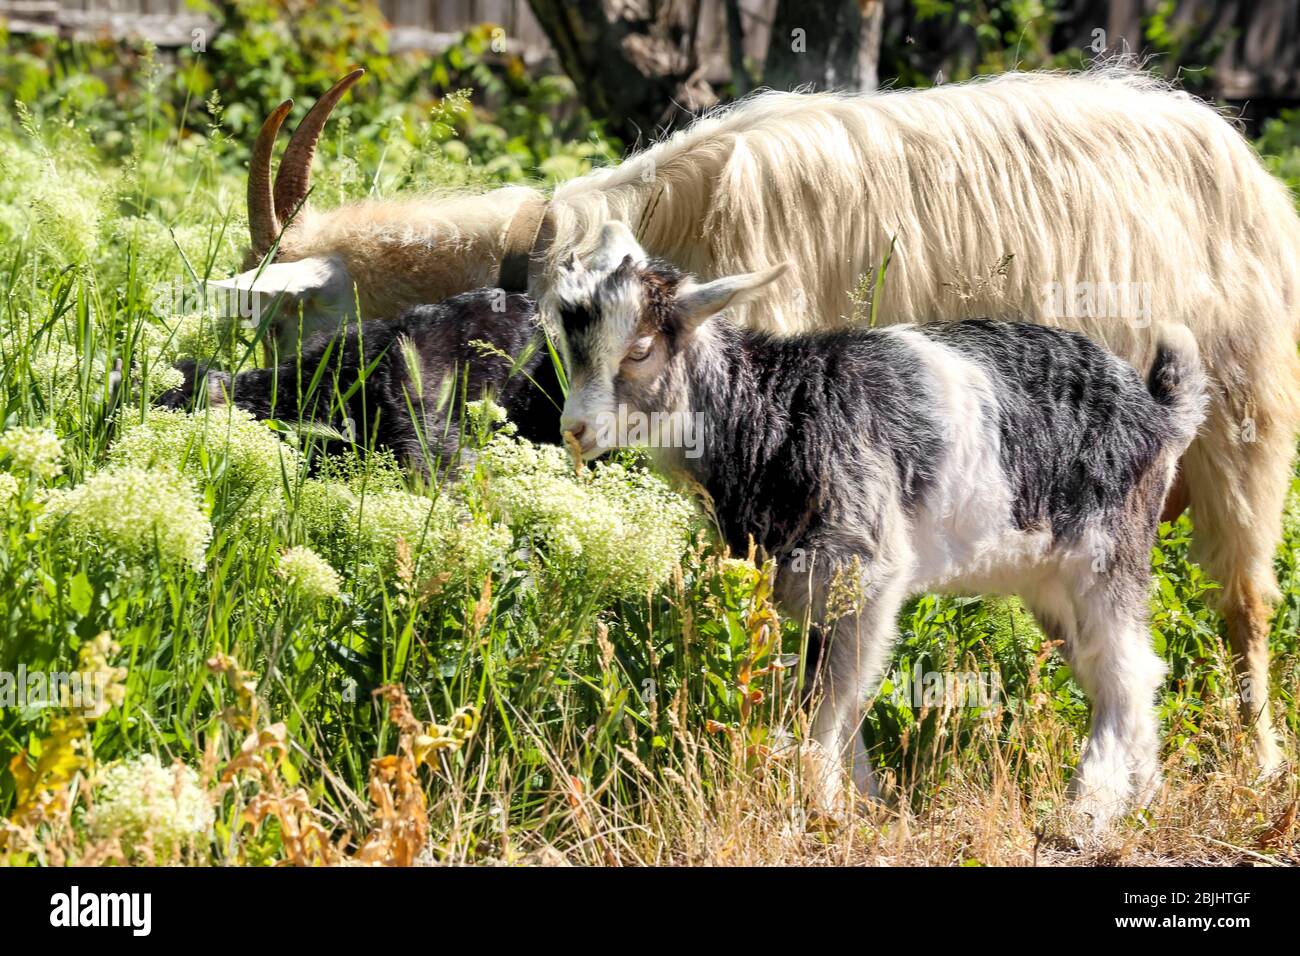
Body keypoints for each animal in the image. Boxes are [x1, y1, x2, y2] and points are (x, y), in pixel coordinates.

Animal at [551, 222, 1207, 829]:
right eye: (570, 345)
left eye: (640, 349)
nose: (574, 430)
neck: (769, 410)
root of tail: (1160, 415)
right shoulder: (805, 584)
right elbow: (836, 692)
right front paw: (862, 803)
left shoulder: (864, 570)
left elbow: (828, 696)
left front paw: (821, 806)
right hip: (1048, 580)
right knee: (1114, 670)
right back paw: (1142, 796)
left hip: (1107, 553)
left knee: (1125, 673)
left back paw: (1090, 806)